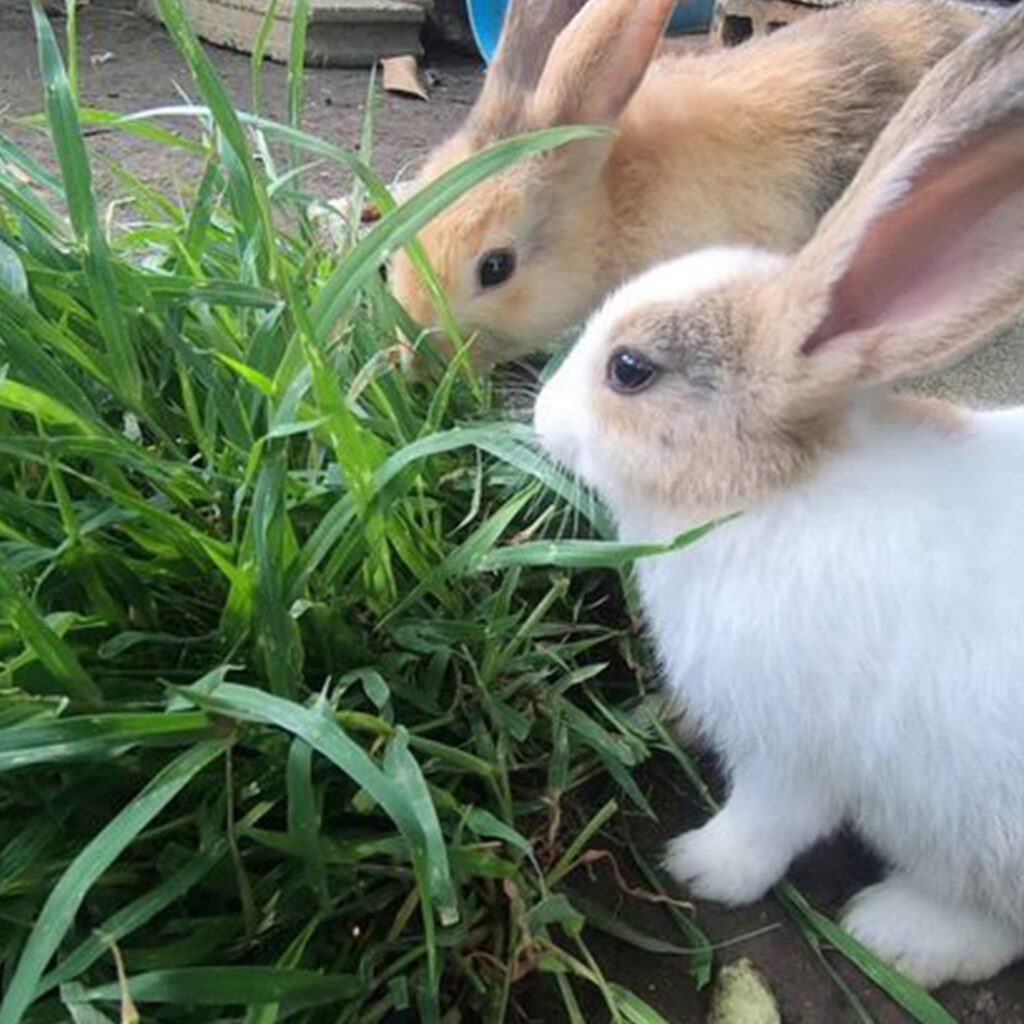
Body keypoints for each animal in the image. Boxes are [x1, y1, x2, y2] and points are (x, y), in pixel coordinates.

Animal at [533, 1, 1024, 990]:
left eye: (629, 370)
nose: (538, 416)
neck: (763, 496)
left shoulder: (793, 751)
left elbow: (767, 822)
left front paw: (698, 866)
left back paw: (898, 931)